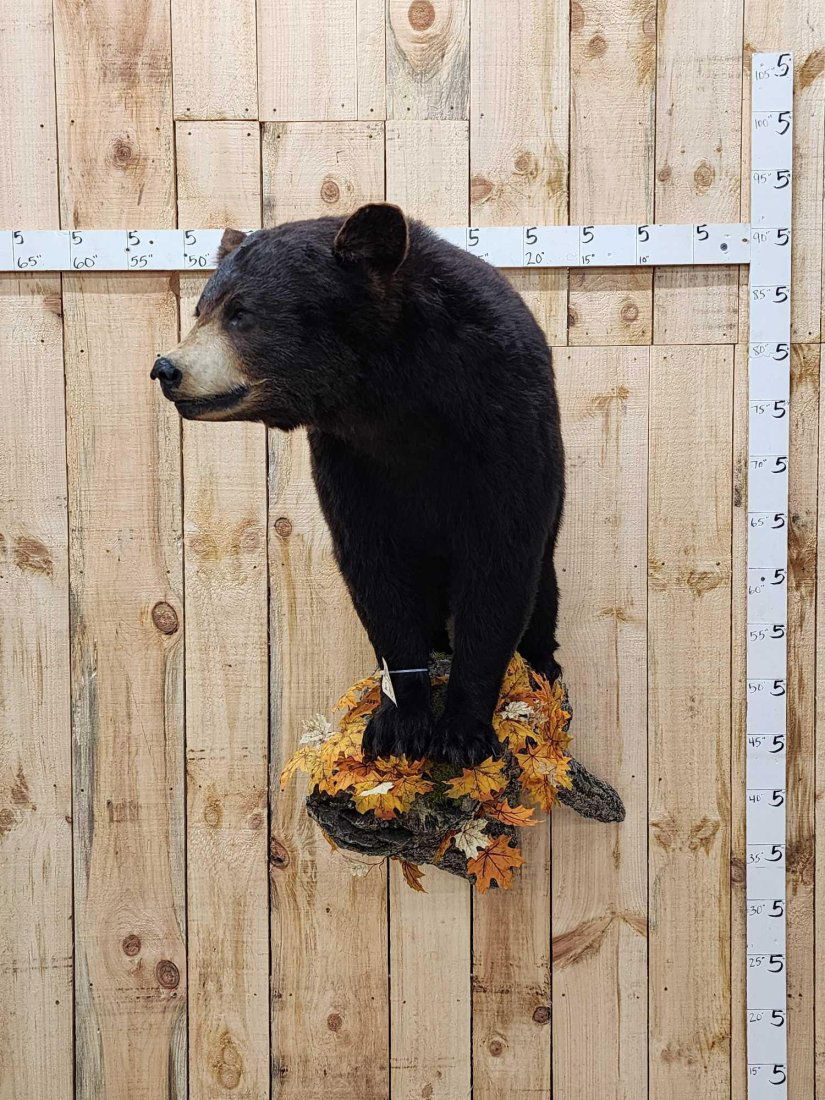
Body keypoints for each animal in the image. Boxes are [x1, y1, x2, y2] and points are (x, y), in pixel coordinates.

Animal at [151, 203, 564, 767]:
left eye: (241, 312)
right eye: (201, 309)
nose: (166, 368)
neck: (395, 404)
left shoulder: (501, 428)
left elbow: (499, 564)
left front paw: (462, 731)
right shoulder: (351, 463)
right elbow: (375, 572)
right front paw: (399, 723)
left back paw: (545, 668)